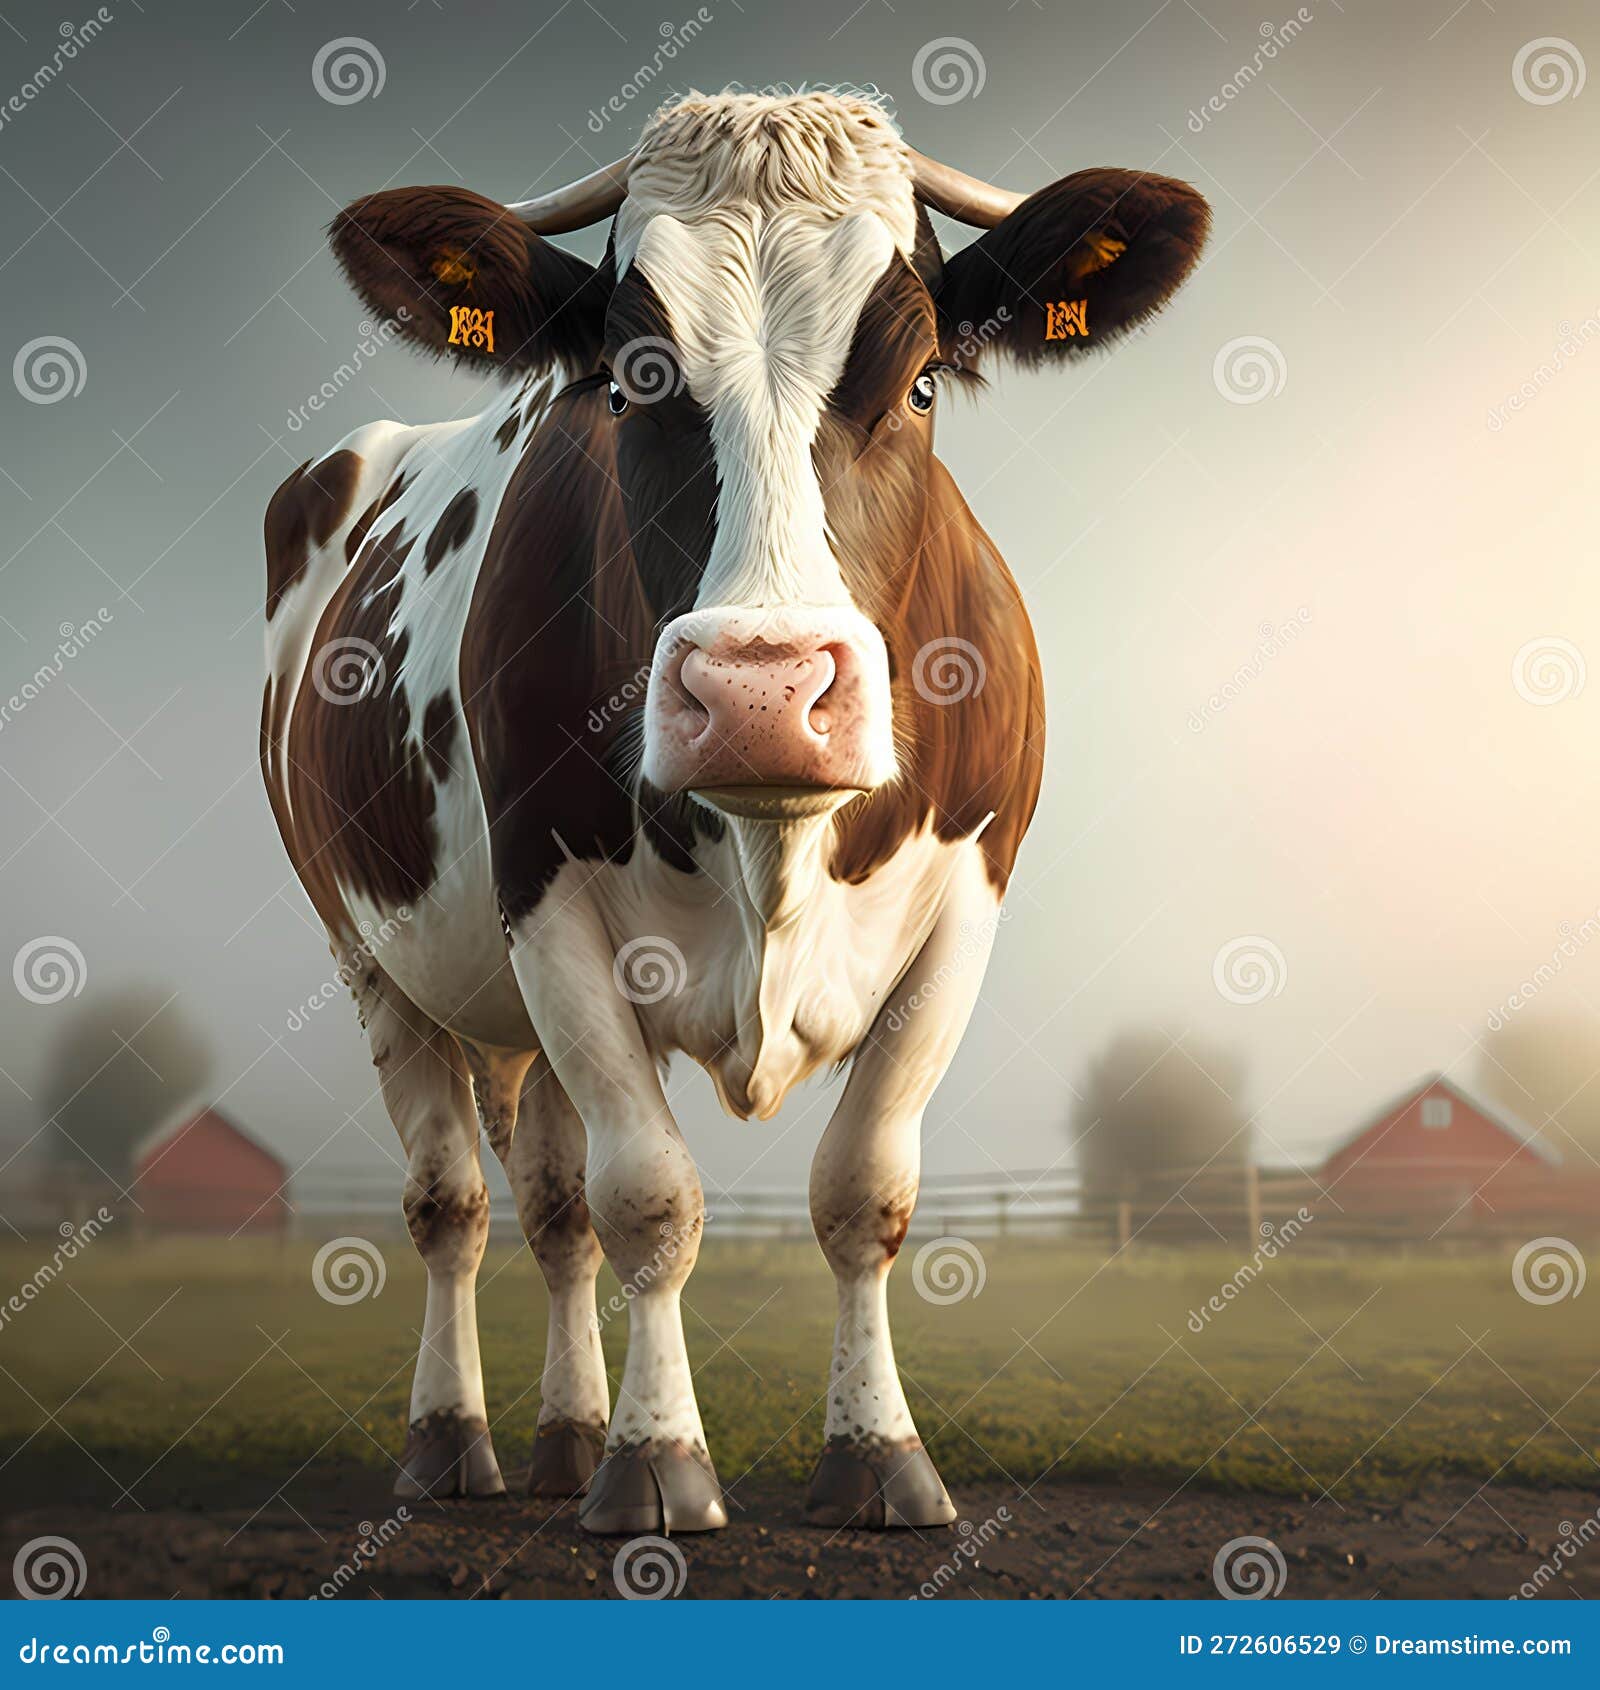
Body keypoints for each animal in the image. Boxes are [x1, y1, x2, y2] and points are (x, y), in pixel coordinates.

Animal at [260, 88, 1208, 1534]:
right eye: (625, 380)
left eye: (920, 381)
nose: (762, 689)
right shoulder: (545, 905)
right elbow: (649, 1198)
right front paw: (658, 1464)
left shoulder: (967, 909)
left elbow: (863, 1189)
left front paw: (877, 1456)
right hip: (370, 954)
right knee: (452, 1205)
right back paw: (452, 1441)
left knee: (550, 1206)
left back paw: (564, 1436)